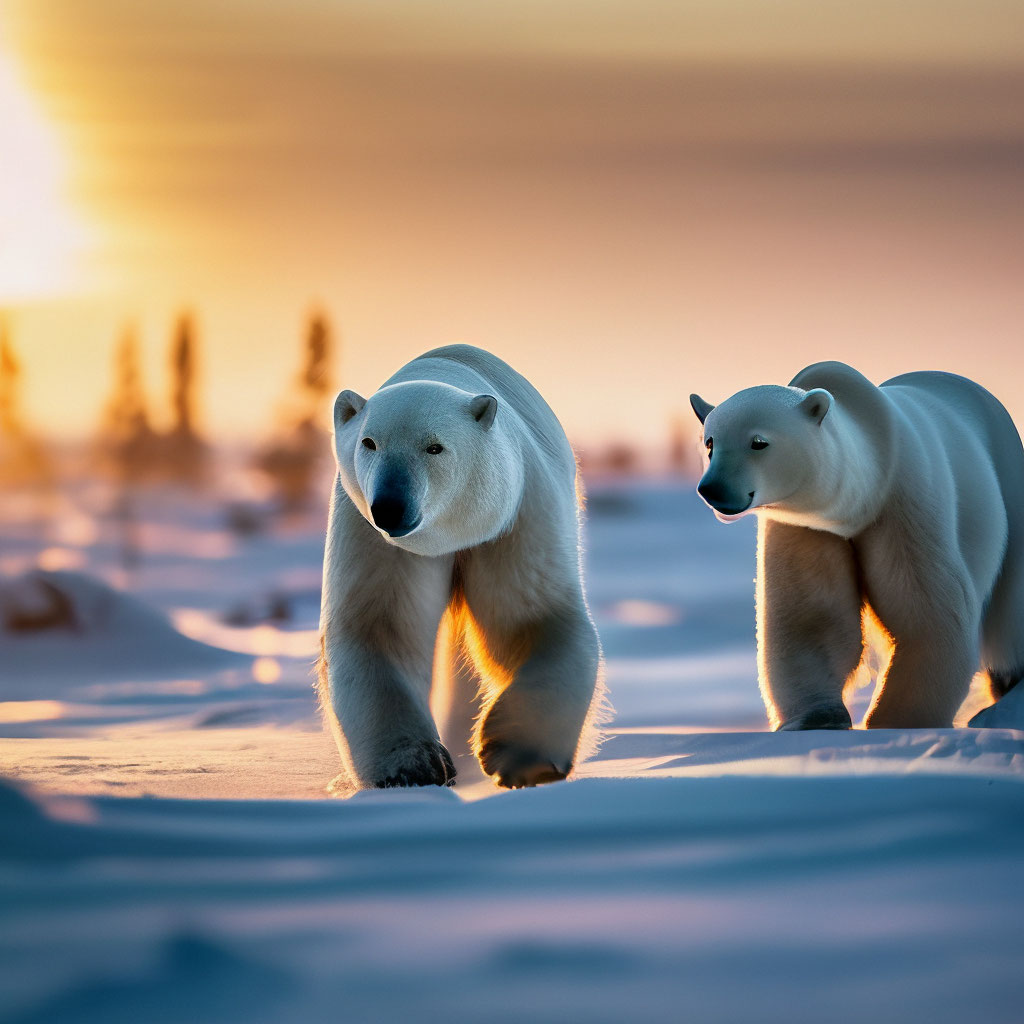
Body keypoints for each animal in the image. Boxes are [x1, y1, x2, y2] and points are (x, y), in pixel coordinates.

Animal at [318, 344, 606, 790]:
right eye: (369, 442)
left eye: (434, 447)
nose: (391, 506)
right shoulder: (375, 536)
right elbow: (381, 628)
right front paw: (414, 768)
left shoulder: (513, 518)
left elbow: (532, 620)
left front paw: (518, 756)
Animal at [689, 360, 1024, 731]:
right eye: (709, 442)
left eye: (758, 442)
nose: (712, 488)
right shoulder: (809, 527)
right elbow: (811, 617)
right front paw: (814, 720)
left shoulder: (904, 506)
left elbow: (925, 614)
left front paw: (897, 721)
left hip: (1009, 480)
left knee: (1008, 608)